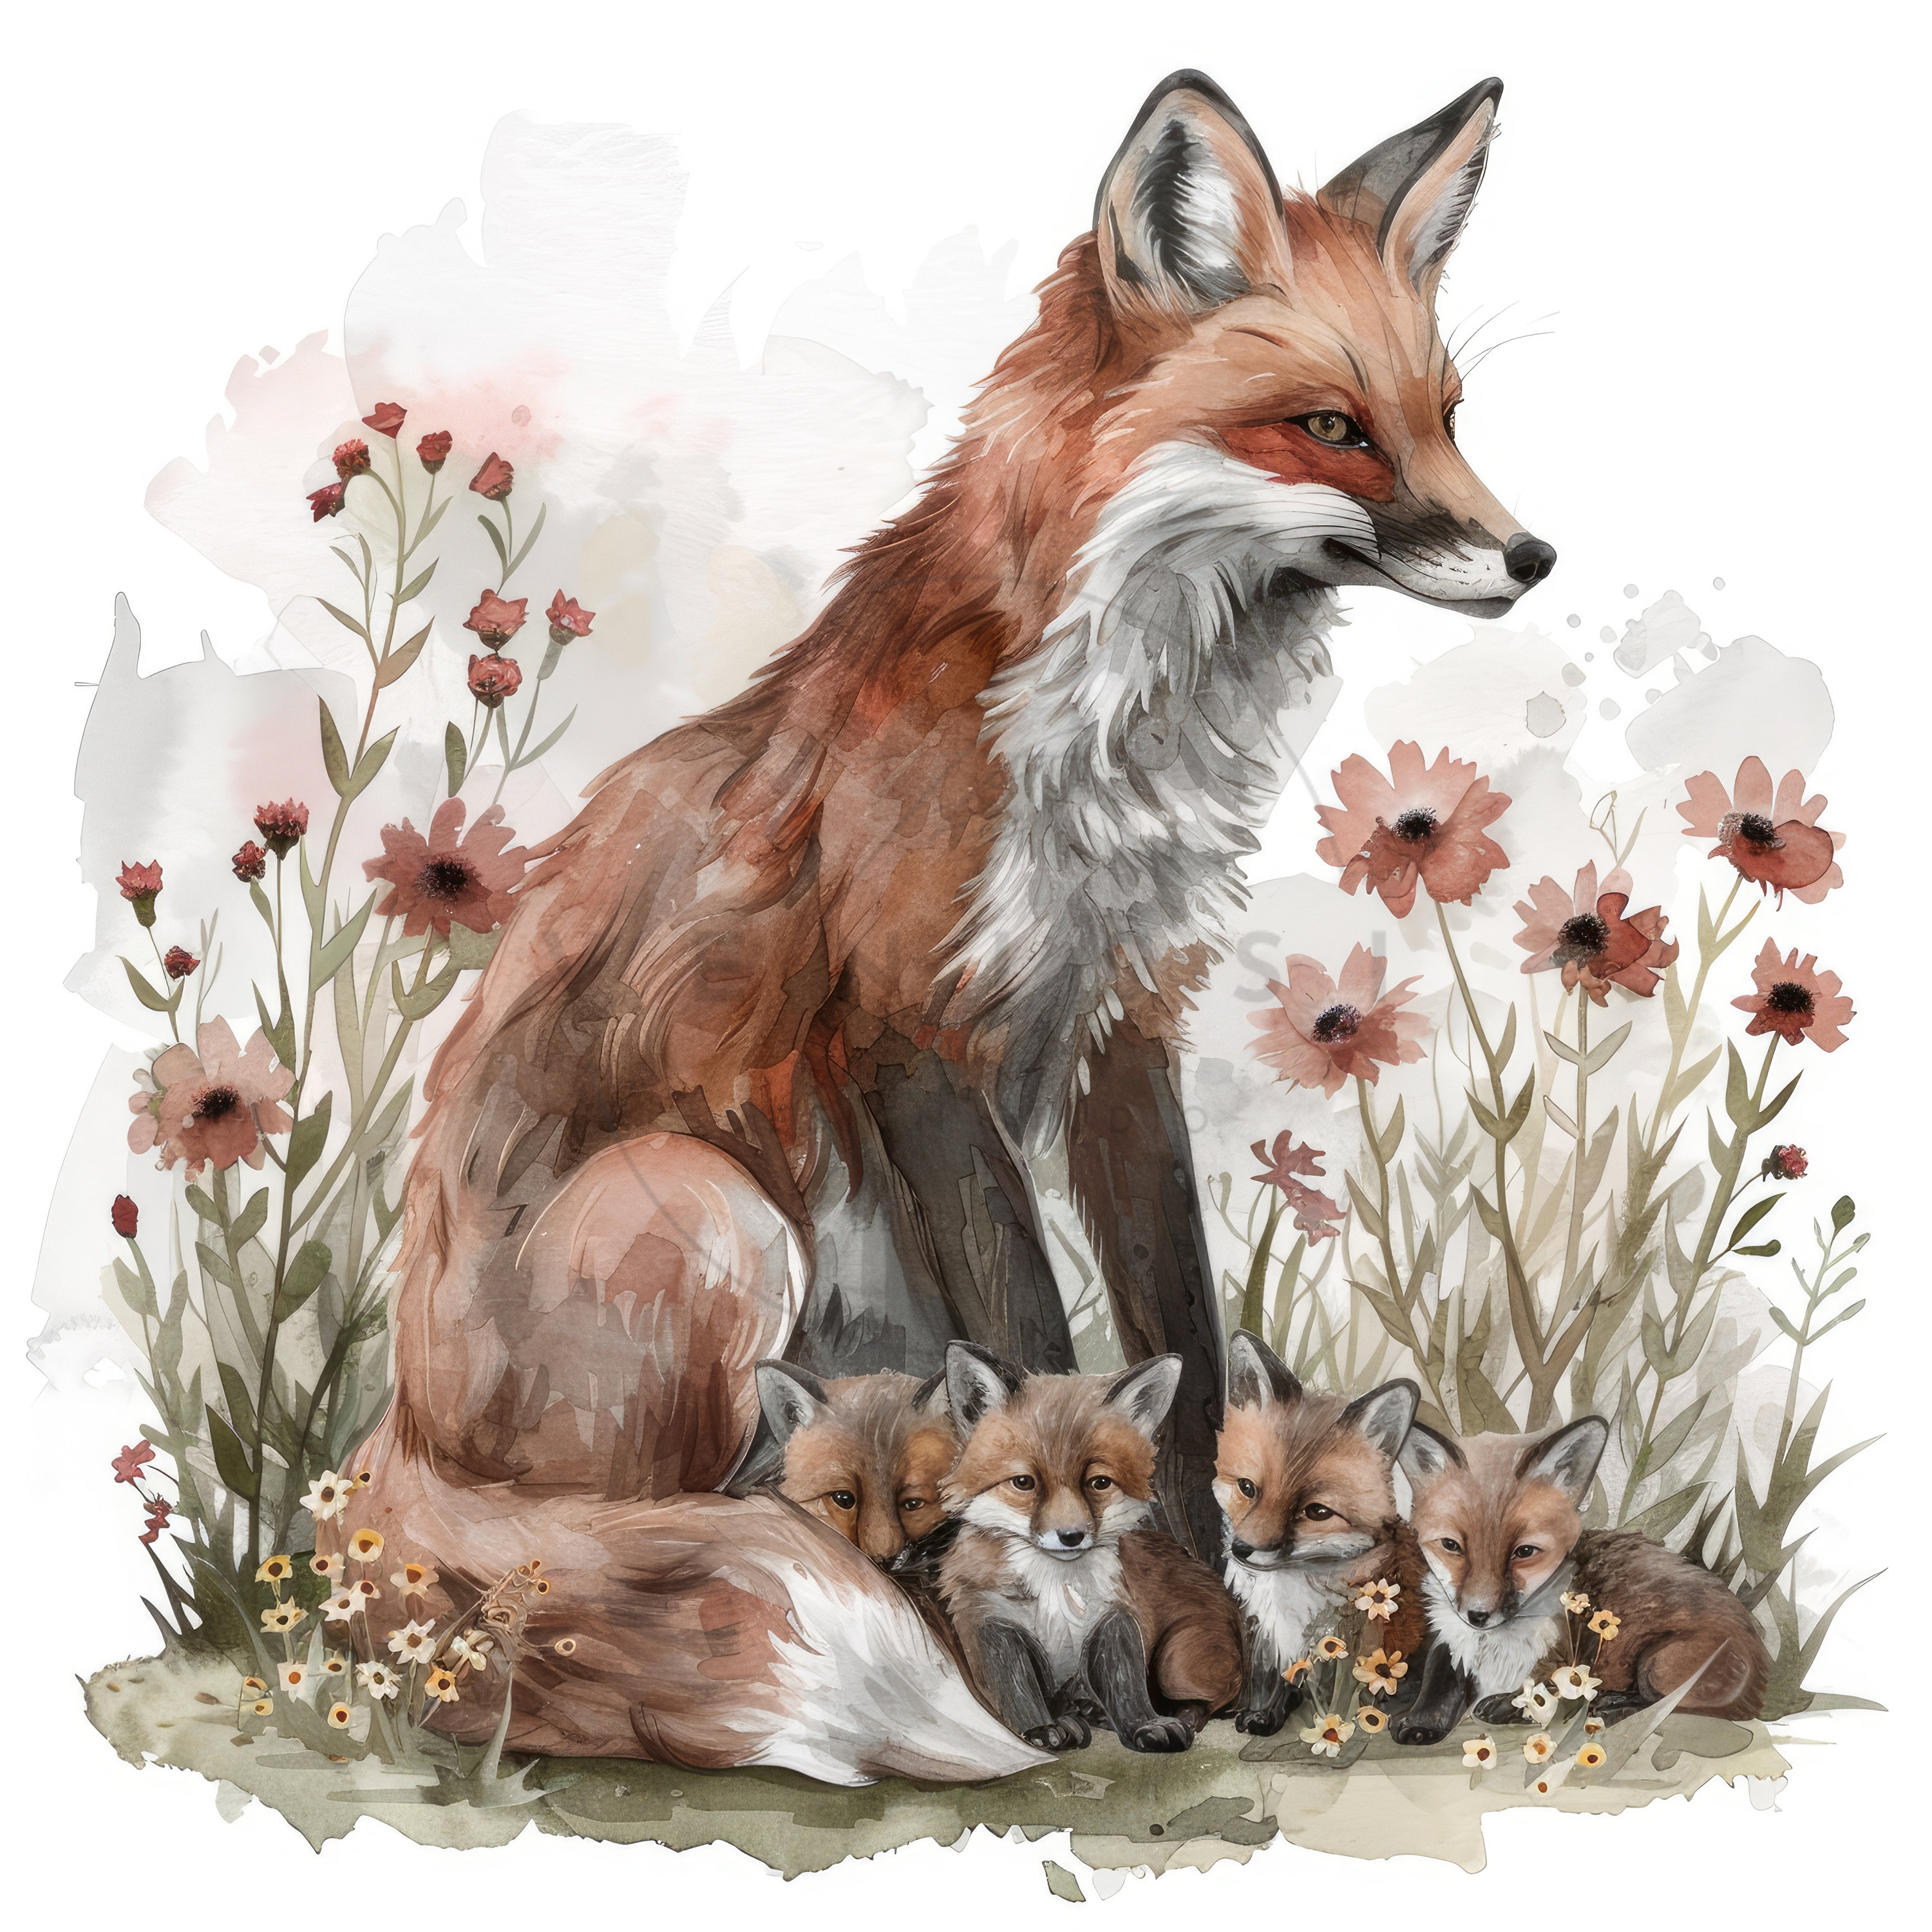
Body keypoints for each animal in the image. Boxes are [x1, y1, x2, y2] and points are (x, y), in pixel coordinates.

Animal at [933, 1342, 1243, 1753]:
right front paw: (1041, 1729)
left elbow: (1127, 1687)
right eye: (1023, 1482)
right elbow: (1017, 1693)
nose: (1071, 1535)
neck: (1057, 1589)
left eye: (1099, 1483)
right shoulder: (991, 1626)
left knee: (1210, 1701)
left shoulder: (1114, 1619)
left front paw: (1145, 1726)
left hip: (1179, 1664)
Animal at [1212, 1331, 1426, 1735]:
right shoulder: (1265, 1631)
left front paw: (1341, 1723)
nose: (1243, 1549)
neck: (1288, 1592)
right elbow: (1268, 1678)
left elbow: (1347, 1688)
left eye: (1317, 1512)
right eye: (1247, 1488)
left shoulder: (1350, 1636)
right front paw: (1264, 1713)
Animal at [1390, 1417, 1771, 1744]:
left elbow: (1545, 1690)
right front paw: (1422, 1723)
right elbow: (1438, 1686)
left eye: (1524, 1552)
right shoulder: (1451, 1639)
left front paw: (1511, 1706)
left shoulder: (1569, 1650)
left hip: (1658, 1664)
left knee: (1673, 1705)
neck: (1494, 1643)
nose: (1478, 1615)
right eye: (1451, 1546)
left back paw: (1615, 1705)